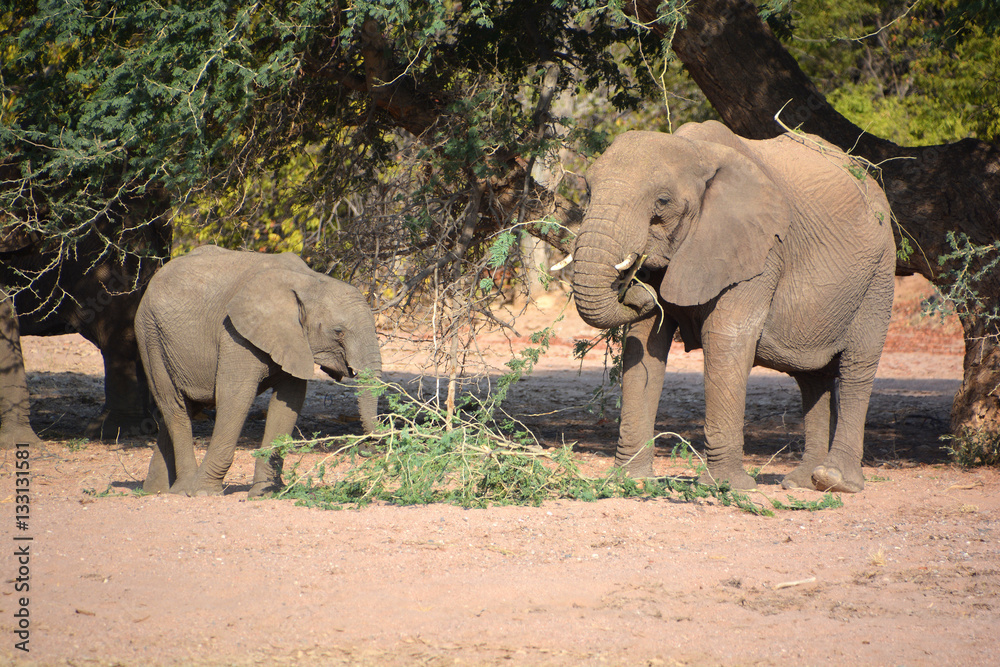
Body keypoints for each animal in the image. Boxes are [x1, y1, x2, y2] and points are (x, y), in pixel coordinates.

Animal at [135, 245, 382, 497]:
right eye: (338, 331)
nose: (368, 449)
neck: (309, 280)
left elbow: (289, 403)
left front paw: (267, 493)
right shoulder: (235, 333)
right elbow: (236, 396)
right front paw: (205, 492)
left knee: (184, 408)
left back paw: (156, 491)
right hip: (150, 335)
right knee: (174, 406)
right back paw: (184, 489)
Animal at [570, 120, 895, 493]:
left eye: (662, 201)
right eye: (588, 190)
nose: (638, 289)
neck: (697, 152)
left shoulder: (761, 249)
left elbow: (726, 338)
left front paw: (723, 486)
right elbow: (644, 344)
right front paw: (630, 480)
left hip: (879, 273)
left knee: (858, 365)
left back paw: (836, 481)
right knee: (813, 377)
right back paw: (802, 483)